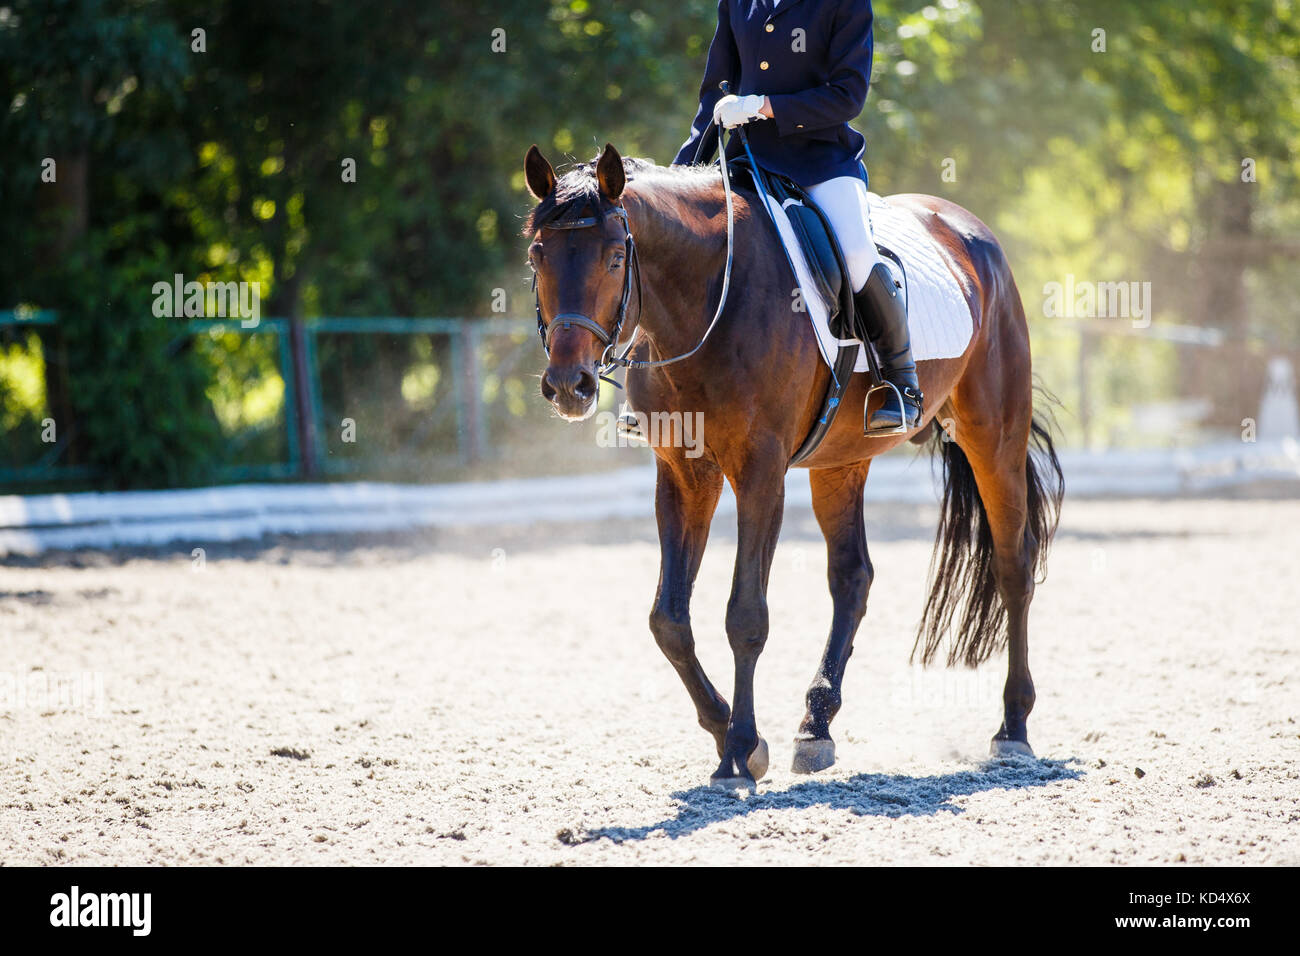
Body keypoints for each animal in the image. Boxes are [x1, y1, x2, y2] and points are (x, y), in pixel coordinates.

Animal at [523, 142, 1063, 789]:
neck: (707, 295)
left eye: (613, 257)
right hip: (842, 461)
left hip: (993, 436)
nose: (568, 385)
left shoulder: (760, 472)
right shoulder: (682, 473)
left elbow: (745, 615)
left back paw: (1013, 727)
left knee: (1013, 565)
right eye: (537, 256)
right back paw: (816, 726)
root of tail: (971, 232)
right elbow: (669, 620)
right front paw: (728, 735)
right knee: (852, 577)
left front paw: (740, 750)